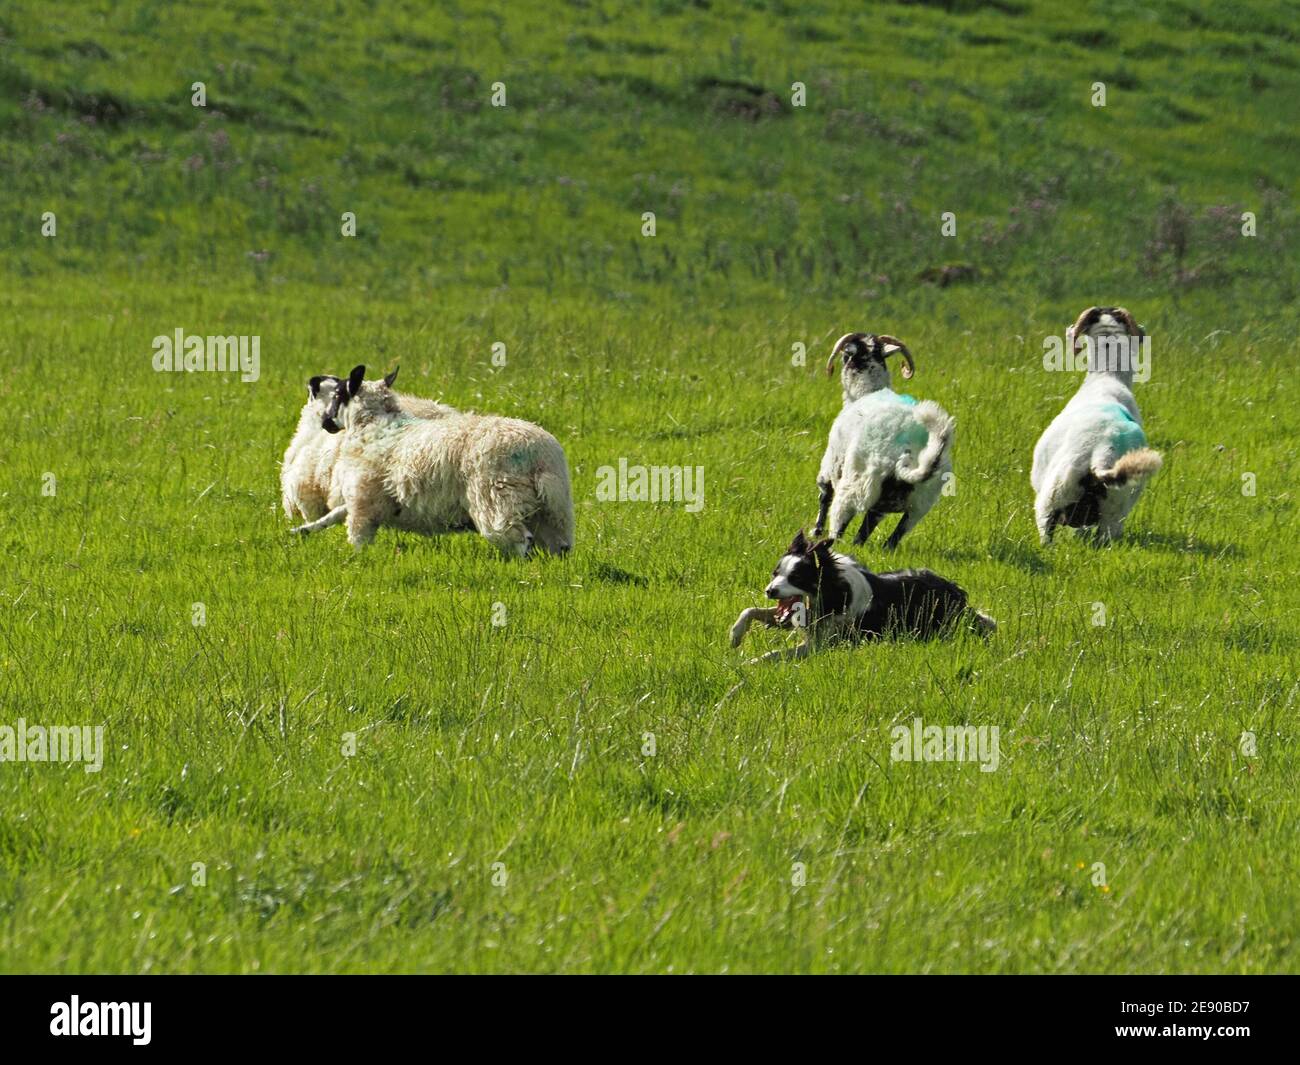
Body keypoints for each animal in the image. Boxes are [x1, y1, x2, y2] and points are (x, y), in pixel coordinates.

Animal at [813, 333, 954, 550]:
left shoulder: (831, 461)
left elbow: (824, 495)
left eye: (844, 355)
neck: (867, 390)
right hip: (919, 504)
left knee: (839, 522)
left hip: (855, 484)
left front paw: (816, 531)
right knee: (890, 534)